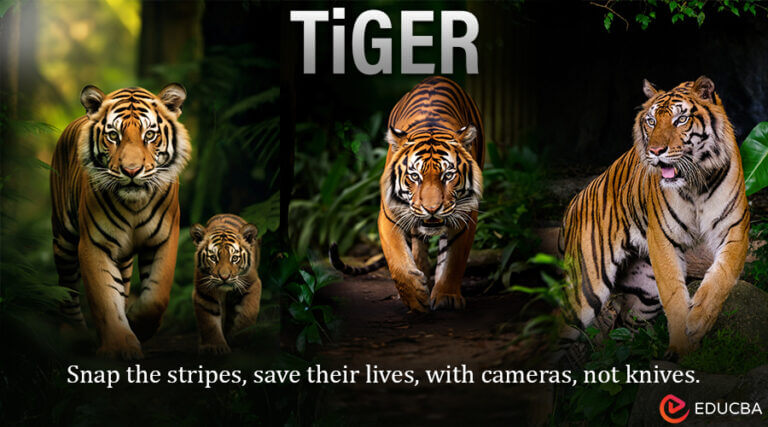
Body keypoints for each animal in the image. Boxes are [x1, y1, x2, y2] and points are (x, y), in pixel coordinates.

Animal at [50, 84, 190, 360]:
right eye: (113, 136)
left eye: (150, 135)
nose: (132, 171)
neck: (134, 205)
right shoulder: (94, 245)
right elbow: (105, 299)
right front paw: (119, 344)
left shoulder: (163, 240)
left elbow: (155, 297)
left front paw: (135, 324)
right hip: (64, 241)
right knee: (68, 290)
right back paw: (74, 336)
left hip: (122, 258)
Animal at [190, 214, 262, 354]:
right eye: (213, 258)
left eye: (234, 258)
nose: (224, 277)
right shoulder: (204, 293)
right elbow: (209, 322)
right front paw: (215, 346)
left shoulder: (252, 284)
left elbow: (247, 313)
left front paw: (240, 340)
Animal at [330, 76, 485, 312]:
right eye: (414, 176)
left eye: (448, 175)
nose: (432, 209)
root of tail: (437, 77)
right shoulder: (388, 215)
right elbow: (398, 261)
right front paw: (414, 296)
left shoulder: (466, 216)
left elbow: (454, 260)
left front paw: (447, 296)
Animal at [559, 76, 749, 358]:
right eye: (651, 121)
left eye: (681, 119)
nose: (656, 151)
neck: (695, 183)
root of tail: (572, 204)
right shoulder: (663, 237)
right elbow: (673, 292)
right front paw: (681, 343)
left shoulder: (734, 228)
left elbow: (722, 277)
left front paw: (699, 320)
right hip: (585, 288)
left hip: (644, 296)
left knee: (624, 328)